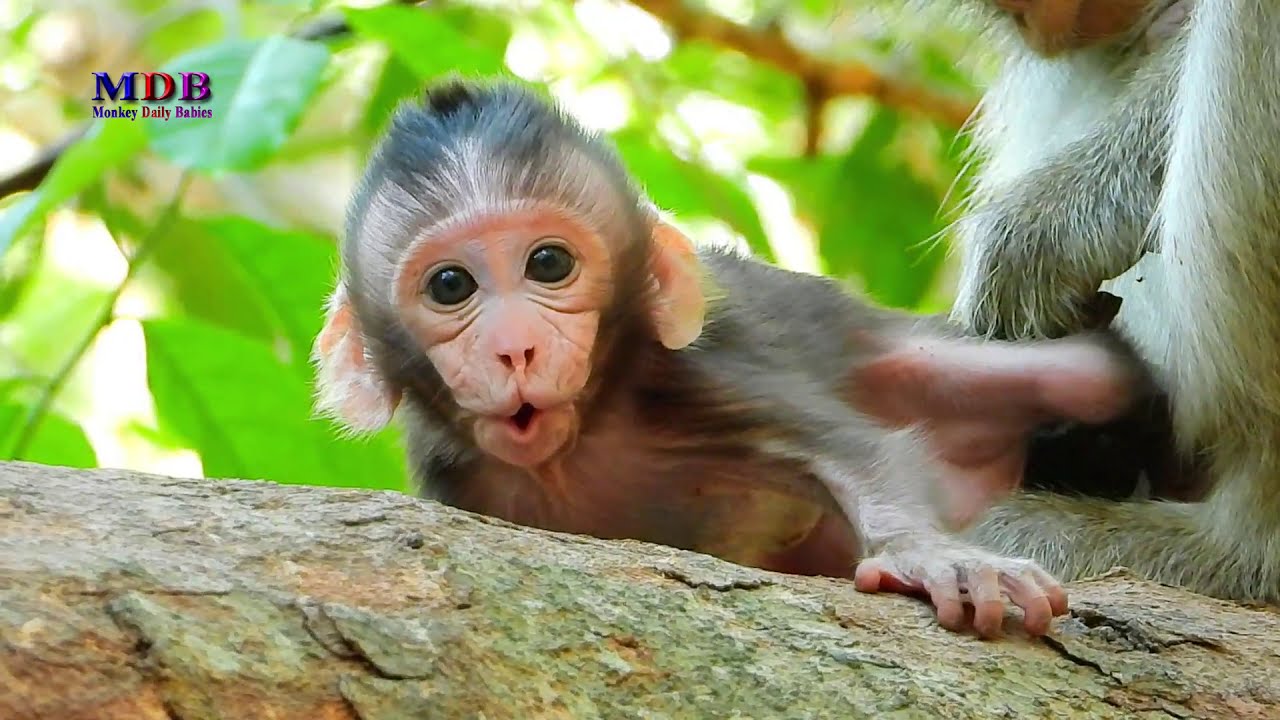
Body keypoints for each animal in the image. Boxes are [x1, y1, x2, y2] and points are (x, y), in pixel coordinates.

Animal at [312, 78, 1155, 638]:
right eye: (450, 284)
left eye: (548, 265)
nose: (515, 347)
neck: (574, 450)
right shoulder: (455, 477)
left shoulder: (701, 372)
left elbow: (862, 454)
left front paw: (930, 556)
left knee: (1089, 380)